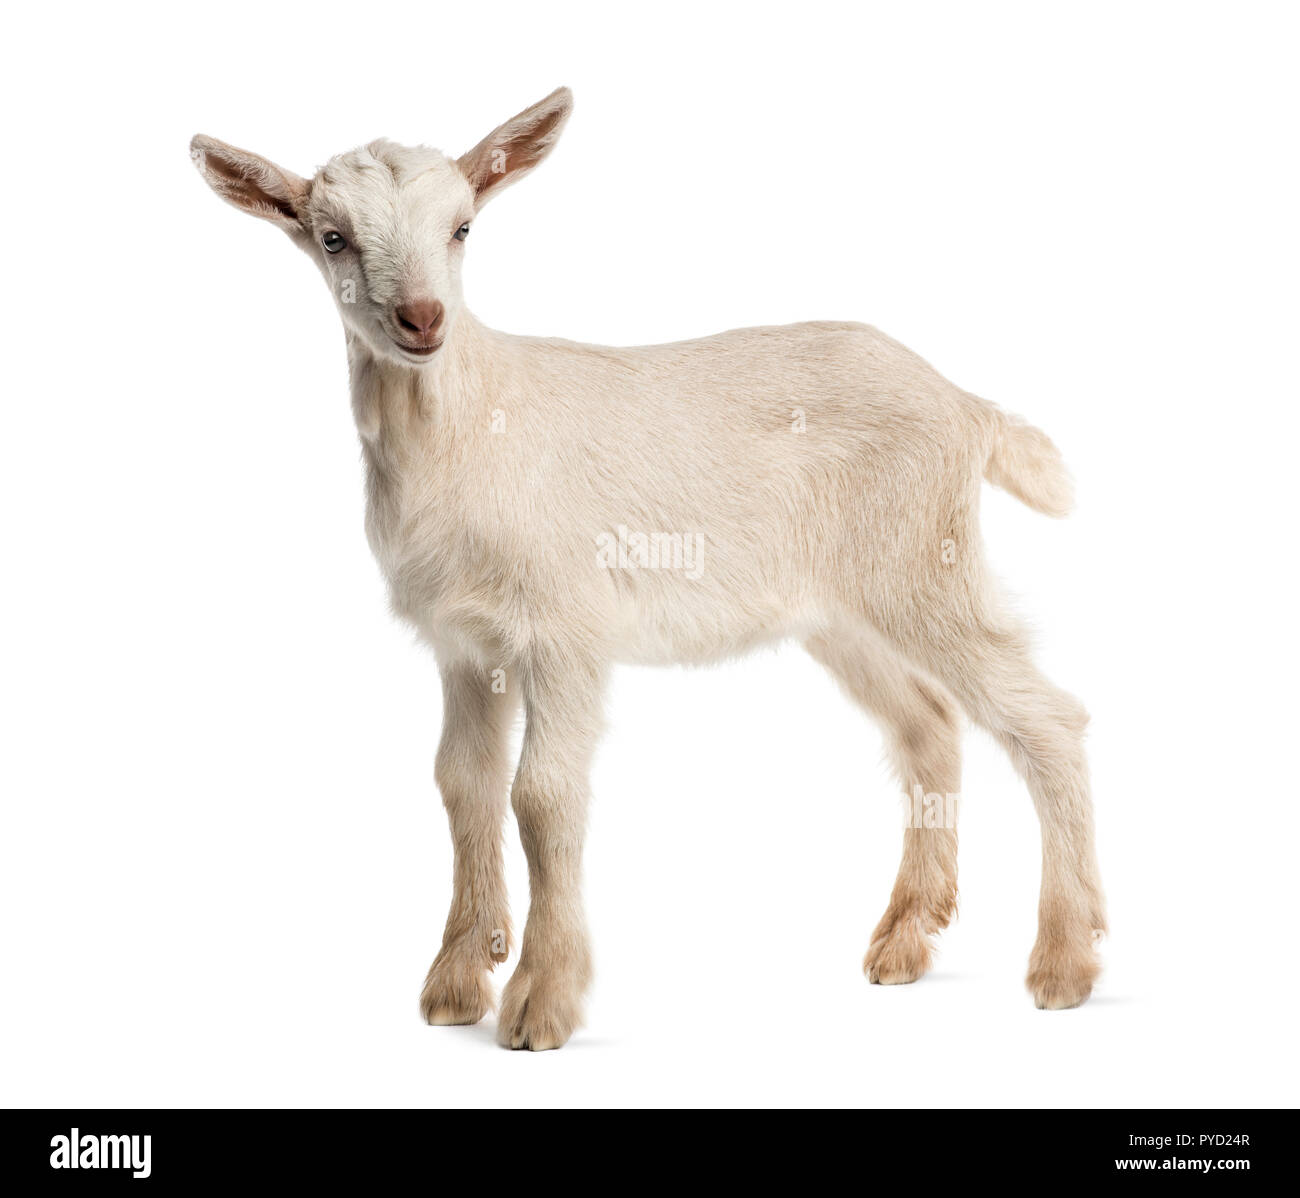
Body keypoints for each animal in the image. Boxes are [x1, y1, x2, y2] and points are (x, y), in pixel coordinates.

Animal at [191, 87, 1105, 1050]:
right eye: (332, 237)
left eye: (463, 227)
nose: (423, 320)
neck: (466, 422)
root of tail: (969, 407)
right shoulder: (464, 644)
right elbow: (463, 786)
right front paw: (457, 979)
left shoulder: (563, 628)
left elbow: (542, 795)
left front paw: (541, 1001)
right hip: (839, 609)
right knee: (928, 724)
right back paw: (904, 940)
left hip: (926, 562)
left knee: (1048, 720)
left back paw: (1064, 961)